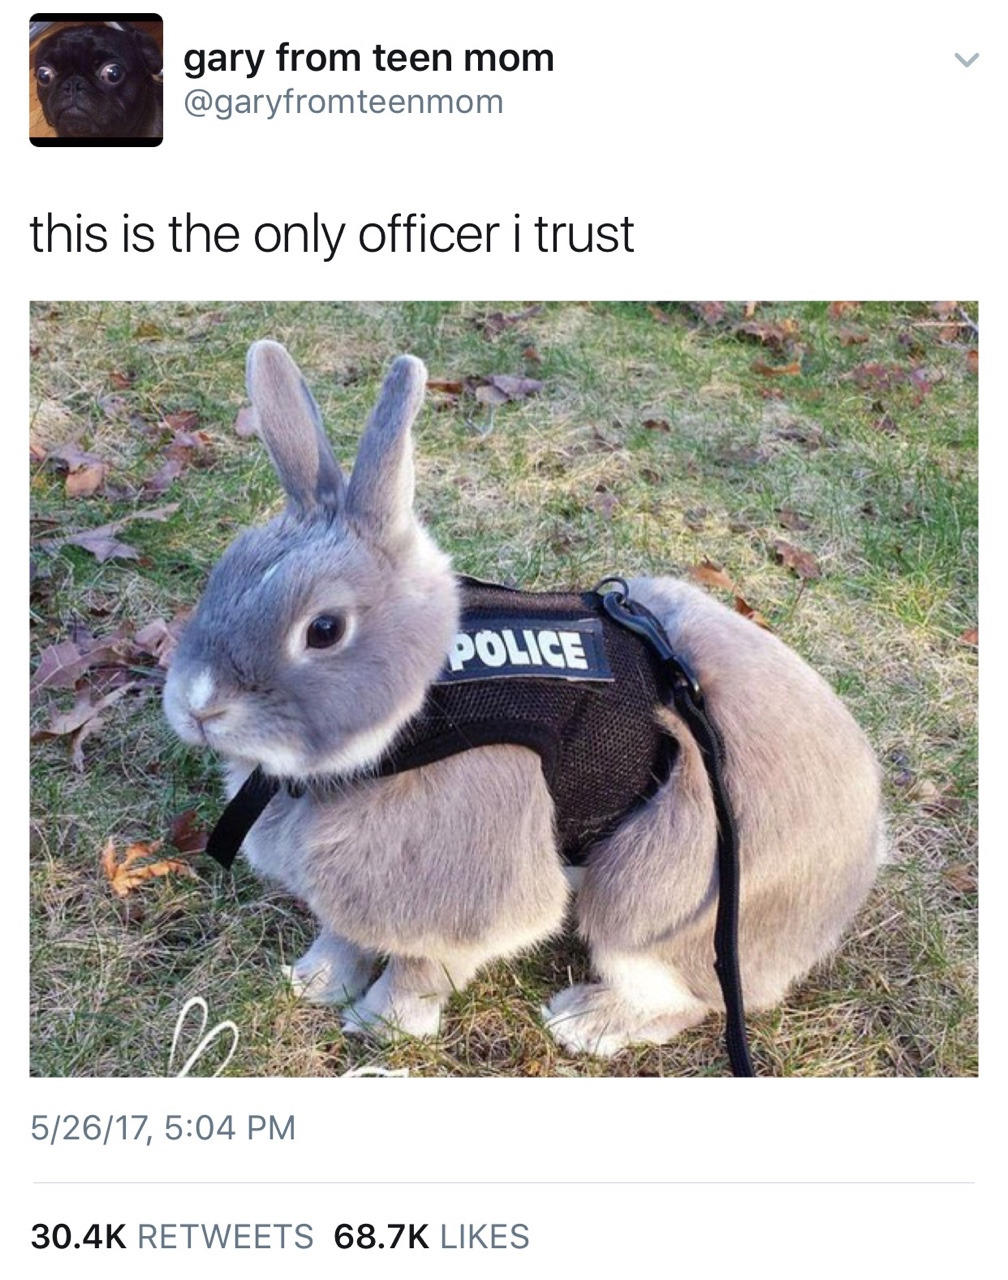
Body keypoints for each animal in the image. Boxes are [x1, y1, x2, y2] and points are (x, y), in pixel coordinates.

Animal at [163, 340, 884, 1059]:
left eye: (324, 630)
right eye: (226, 570)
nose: (196, 706)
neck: (419, 712)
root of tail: (864, 851)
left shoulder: (459, 897)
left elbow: (420, 967)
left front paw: (382, 1027)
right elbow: (346, 937)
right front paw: (312, 984)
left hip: (662, 901)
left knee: (683, 997)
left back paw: (582, 1022)